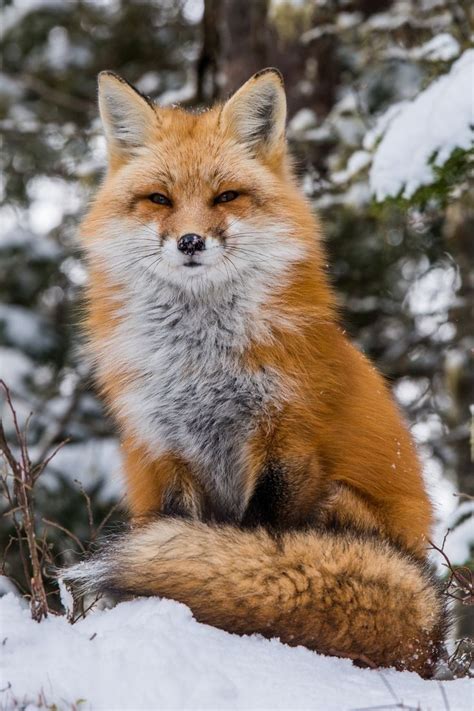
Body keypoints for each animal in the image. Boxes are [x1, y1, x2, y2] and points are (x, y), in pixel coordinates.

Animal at [63, 68, 447, 677]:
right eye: (159, 199)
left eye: (226, 196)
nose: (190, 241)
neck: (199, 364)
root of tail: (430, 642)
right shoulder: (166, 452)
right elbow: (190, 531)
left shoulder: (287, 441)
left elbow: (256, 544)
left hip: (339, 498)